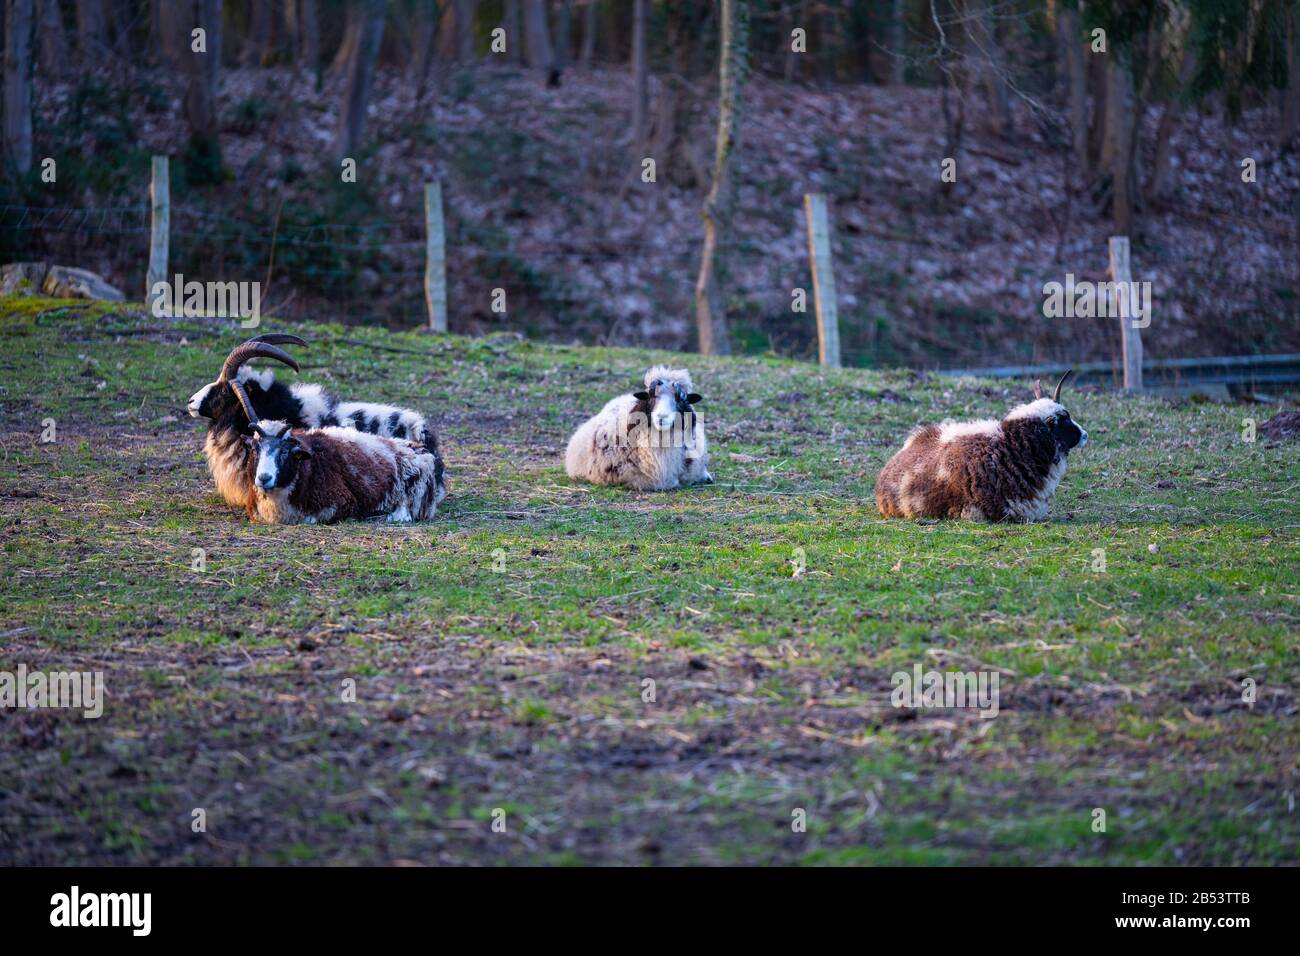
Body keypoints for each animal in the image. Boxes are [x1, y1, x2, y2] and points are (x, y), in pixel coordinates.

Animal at [229, 379, 445, 524]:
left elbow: (311, 519)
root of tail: (418, 447)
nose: (264, 478)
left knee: (405, 508)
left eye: (284, 452)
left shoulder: (342, 504)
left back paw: (394, 515)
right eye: (255, 449)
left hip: (415, 491)